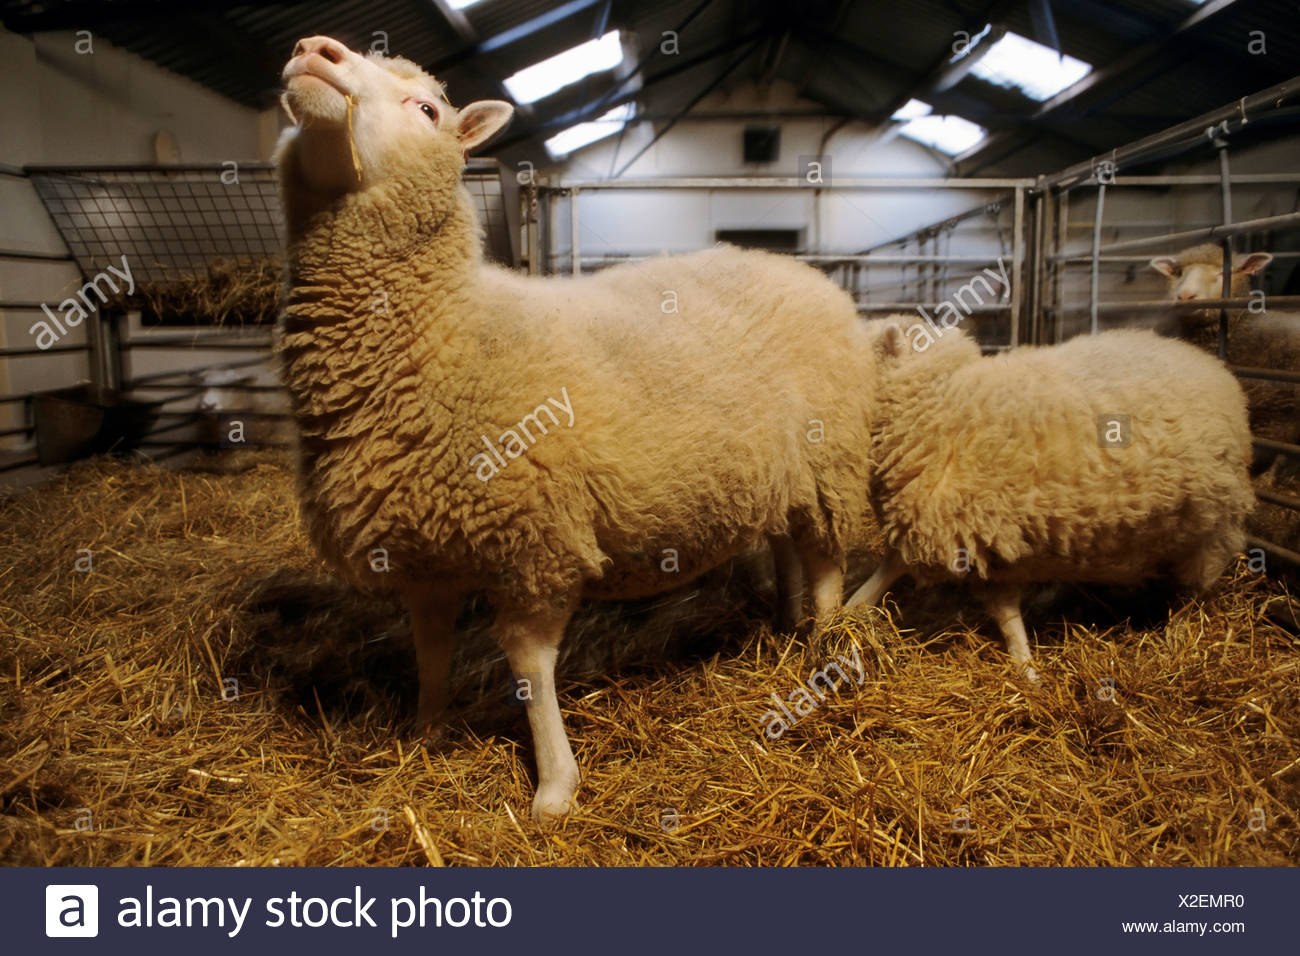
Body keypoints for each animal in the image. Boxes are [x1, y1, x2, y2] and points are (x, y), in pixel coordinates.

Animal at [274, 36, 876, 819]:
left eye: (428, 108)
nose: (315, 50)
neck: (449, 332)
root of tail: (804, 272)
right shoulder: (422, 552)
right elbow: (430, 650)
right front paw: (425, 732)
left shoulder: (536, 538)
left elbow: (530, 664)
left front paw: (554, 787)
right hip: (781, 471)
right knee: (786, 545)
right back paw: (785, 619)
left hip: (830, 457)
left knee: (828, 563)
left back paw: (823, 645)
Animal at [846, 321, 1254, 679]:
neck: (936, 405)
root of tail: (1215, 368)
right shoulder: (960, 531)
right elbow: (894, 565)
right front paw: (853, 606)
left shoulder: (982, 529)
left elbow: (1005, 616)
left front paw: (1026, 670)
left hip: (1211, 530)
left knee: (1193, 592)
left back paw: (1177, 633)